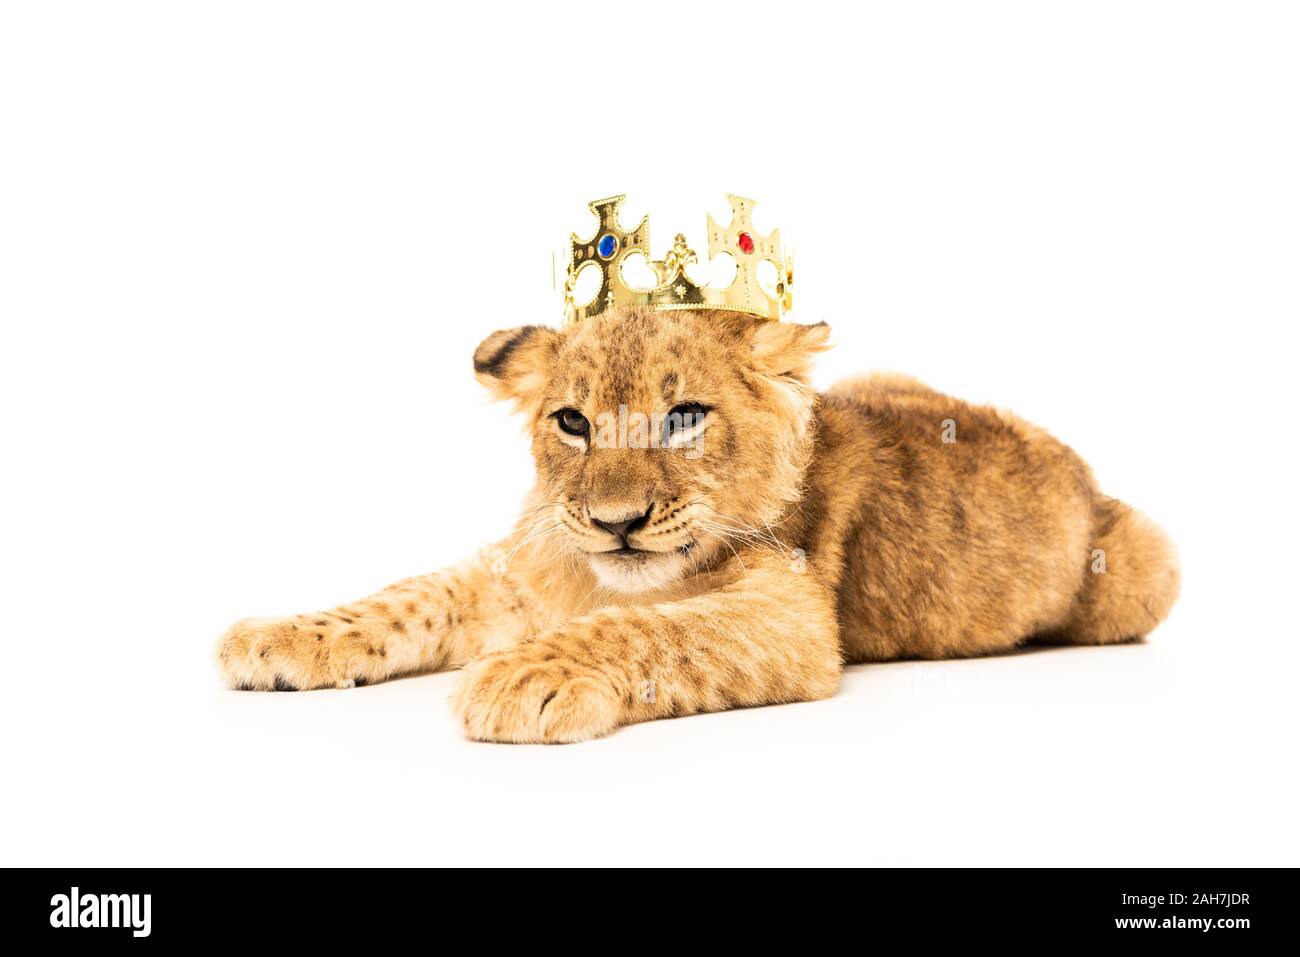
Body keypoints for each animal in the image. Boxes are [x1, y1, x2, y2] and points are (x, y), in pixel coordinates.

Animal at [216, 306, 1181, 742]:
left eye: (684, 417)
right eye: (573, 422)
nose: (617, 521)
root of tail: (1077, 463)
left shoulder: (792, 618)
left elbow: (650, 629)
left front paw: (522, 676)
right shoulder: (519, 569)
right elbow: (406, 596)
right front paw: (276, 636)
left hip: (1145, 566)